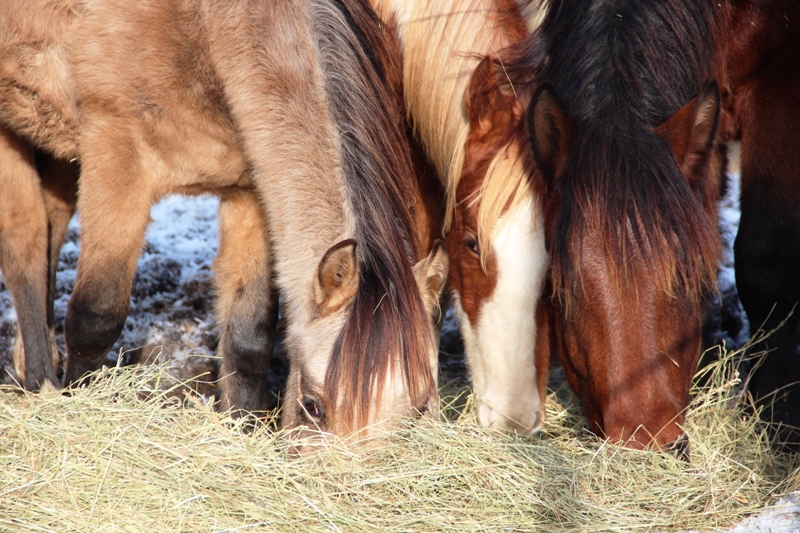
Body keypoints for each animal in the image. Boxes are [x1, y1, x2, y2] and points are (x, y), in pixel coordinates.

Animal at [0, 0, 448, 440]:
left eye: (418, 411)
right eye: (313, 405)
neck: (204, 29)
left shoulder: (250, 193)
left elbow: (249, 336)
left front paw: (241, 428)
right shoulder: (117, 157)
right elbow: (95, 317)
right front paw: (76, 409)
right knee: (26, 243)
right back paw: (40, 382)